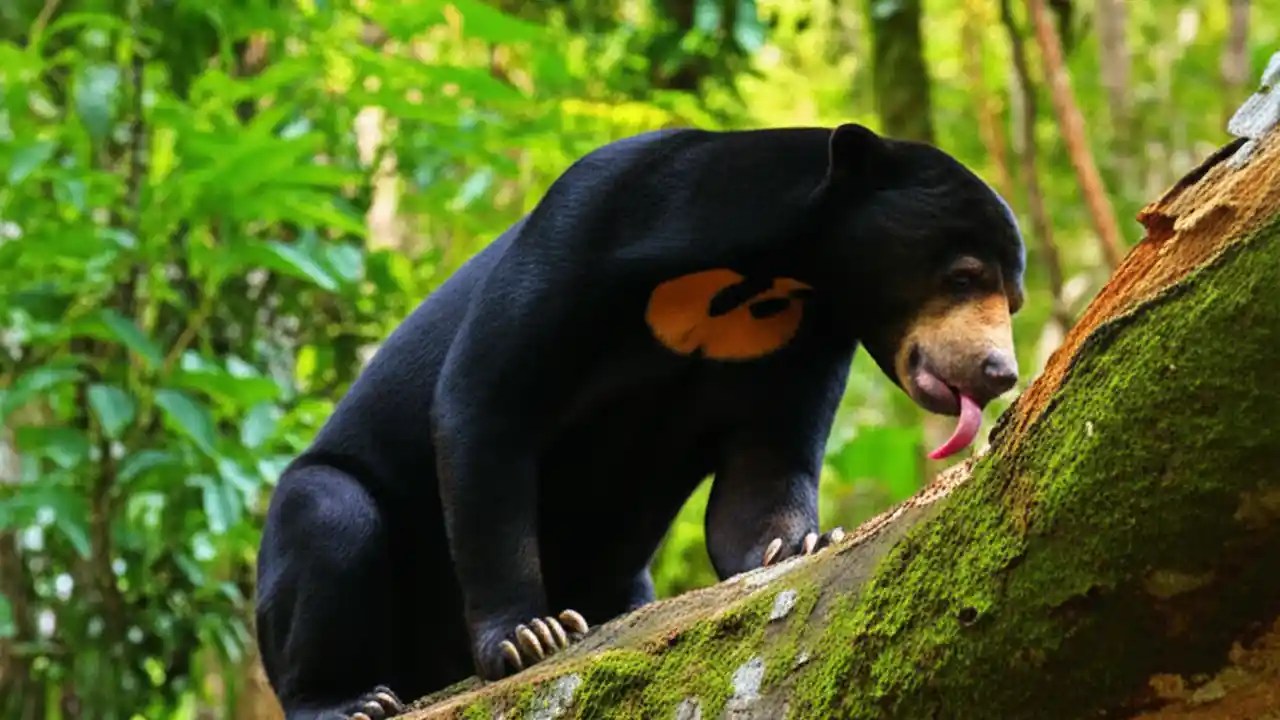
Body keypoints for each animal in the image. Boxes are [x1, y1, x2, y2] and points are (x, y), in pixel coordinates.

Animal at [254, 123, 1025, 720]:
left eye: (1012, 299)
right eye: (963, 275)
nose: (1000, 373)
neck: (764, 275)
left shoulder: (805, 330)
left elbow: (766, 460)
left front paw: (800, 544)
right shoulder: (587, 224)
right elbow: (486, 401)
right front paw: (528, 637)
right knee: (329, 515)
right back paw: (350, 699)